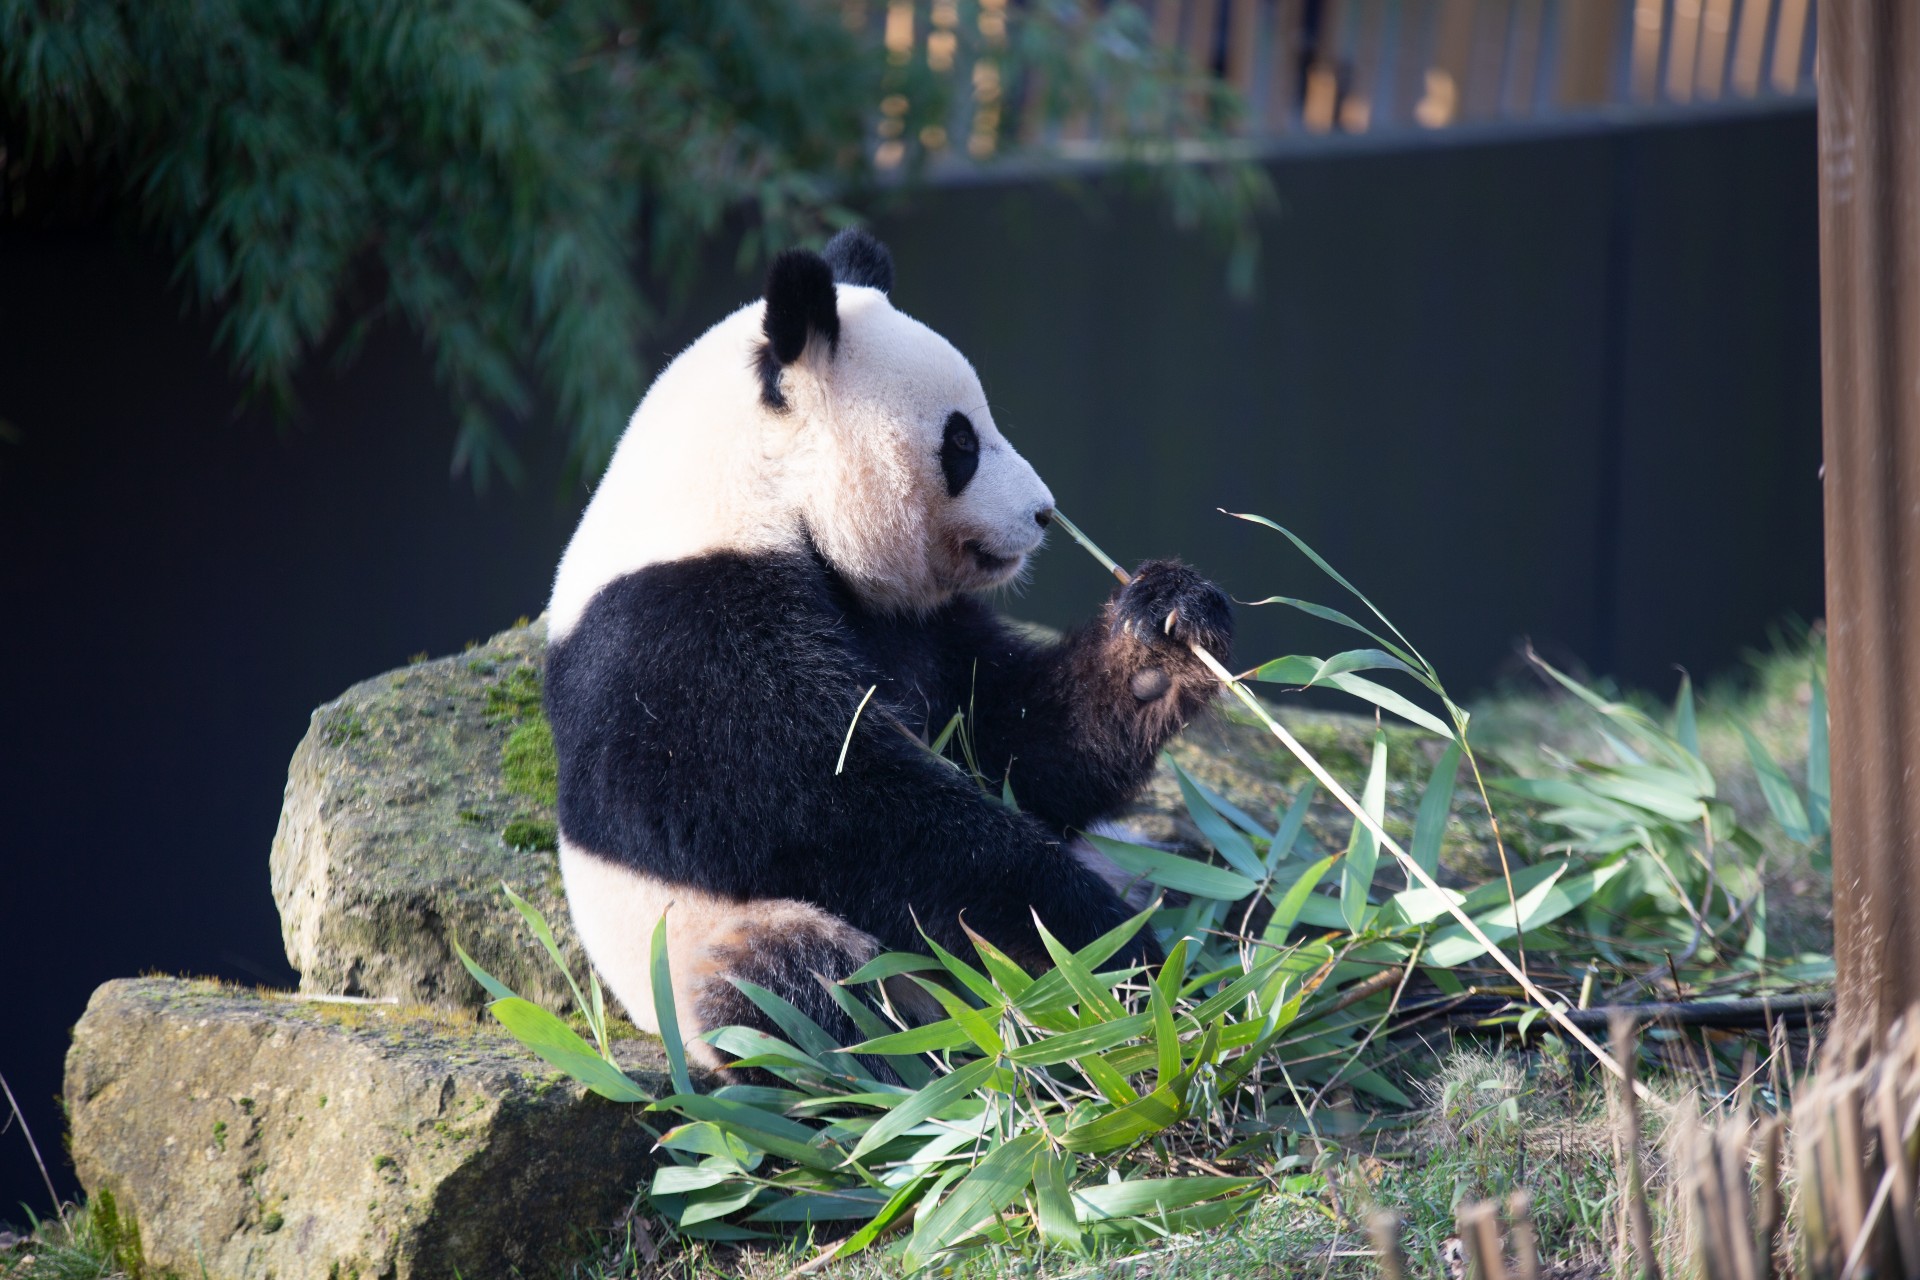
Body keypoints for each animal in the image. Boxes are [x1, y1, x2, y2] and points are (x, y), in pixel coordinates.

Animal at [544, 229, 1232, 1069]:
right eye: (961, 441)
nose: (1043, 513)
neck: (750, 491)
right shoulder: (673, 636)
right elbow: (815, 803)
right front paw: (1088, 935)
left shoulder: (911, 623)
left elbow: (1012, 738)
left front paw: (1165, 635)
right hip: (691, 947)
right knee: (791, 991)